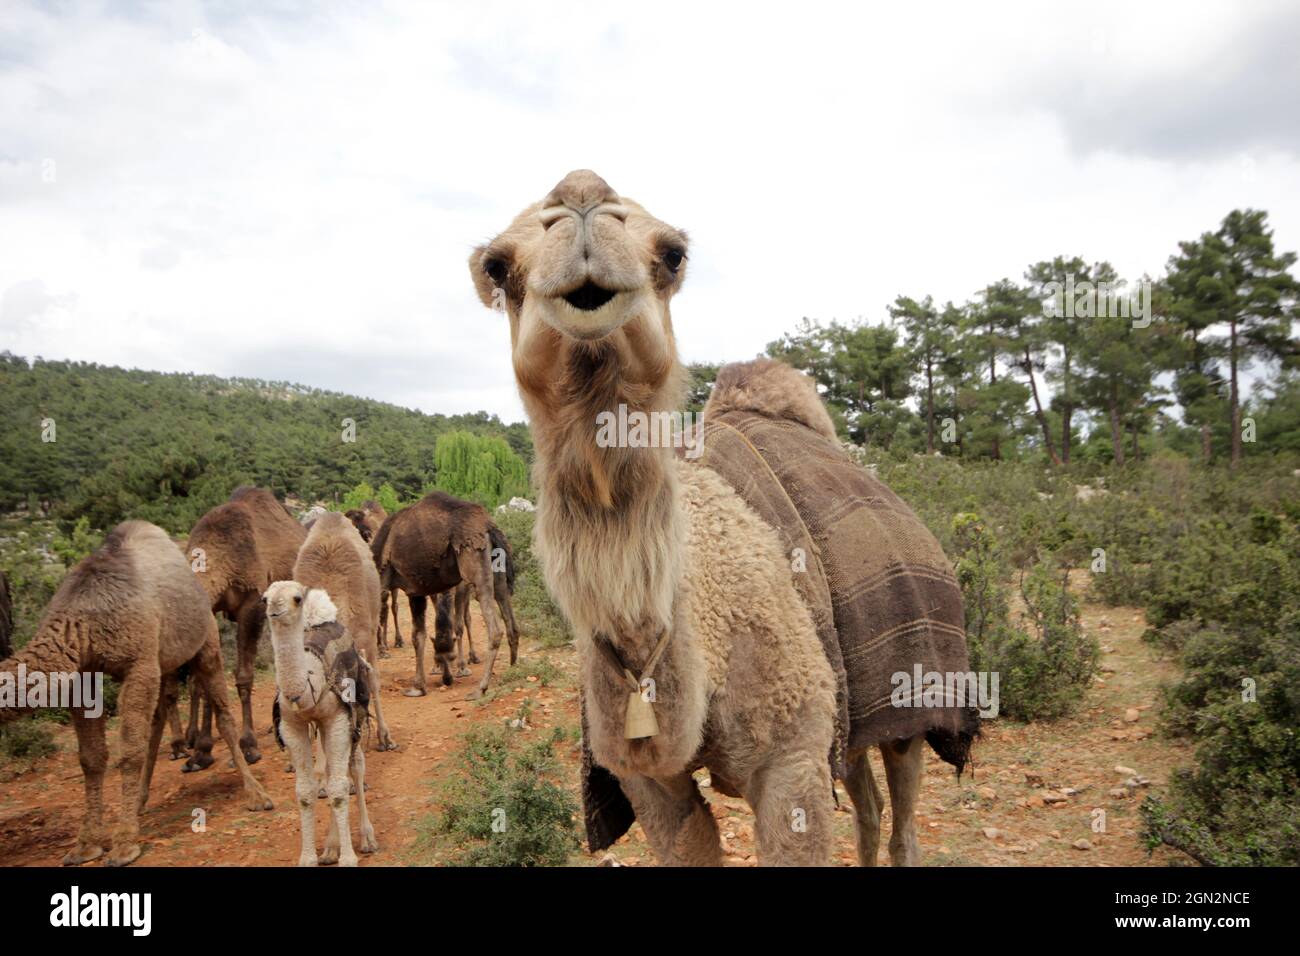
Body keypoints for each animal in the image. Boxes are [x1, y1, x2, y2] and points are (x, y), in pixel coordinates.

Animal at [0, 521, 272, 866]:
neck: (81, 620)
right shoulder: (84, 676)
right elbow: (91, 758)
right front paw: (86, 844)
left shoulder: (138, 663)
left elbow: (128, 751)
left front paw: (124, 844)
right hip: (164, 659)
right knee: (157, 719)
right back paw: (143, 798)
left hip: (206, 642)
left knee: (223, 714)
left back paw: (255, 793)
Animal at [180, 486, 306, 769]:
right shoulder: (213, 612)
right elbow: (207, 683)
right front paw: (201, 751)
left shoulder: (253, 606)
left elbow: (244, 675)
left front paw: (248, 746)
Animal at [263, 581, 377, 866]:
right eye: (264, 598)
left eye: (296, 598)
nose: (274, 609)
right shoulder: (291, 726)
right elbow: (305, 792)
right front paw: (309, 858)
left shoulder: (338, 718)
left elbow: (338, 788)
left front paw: (348, 858)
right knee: (329, 770)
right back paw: (329, 848)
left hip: (356, 709)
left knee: (355, 766)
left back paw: (367, 839)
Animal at [370, 492, 515, 699]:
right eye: (439, 657)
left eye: (451, 657)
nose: (447, 680)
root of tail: (489, 526)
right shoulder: (424, 589)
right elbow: (423, 634)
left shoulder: (411, 588)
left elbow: (419, 635)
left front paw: (418, 686)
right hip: (497, 564)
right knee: (507, 611)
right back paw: (513, 669)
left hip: (473, 557)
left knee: (494, 627)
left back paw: (481, 688)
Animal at [468, 170, 974, 866]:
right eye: (498, 266)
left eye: (673, 254)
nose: (581, 194)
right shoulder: (650, 781)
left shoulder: (793, 761)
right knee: (867, 798)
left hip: (913, 698)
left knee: (901, 812)